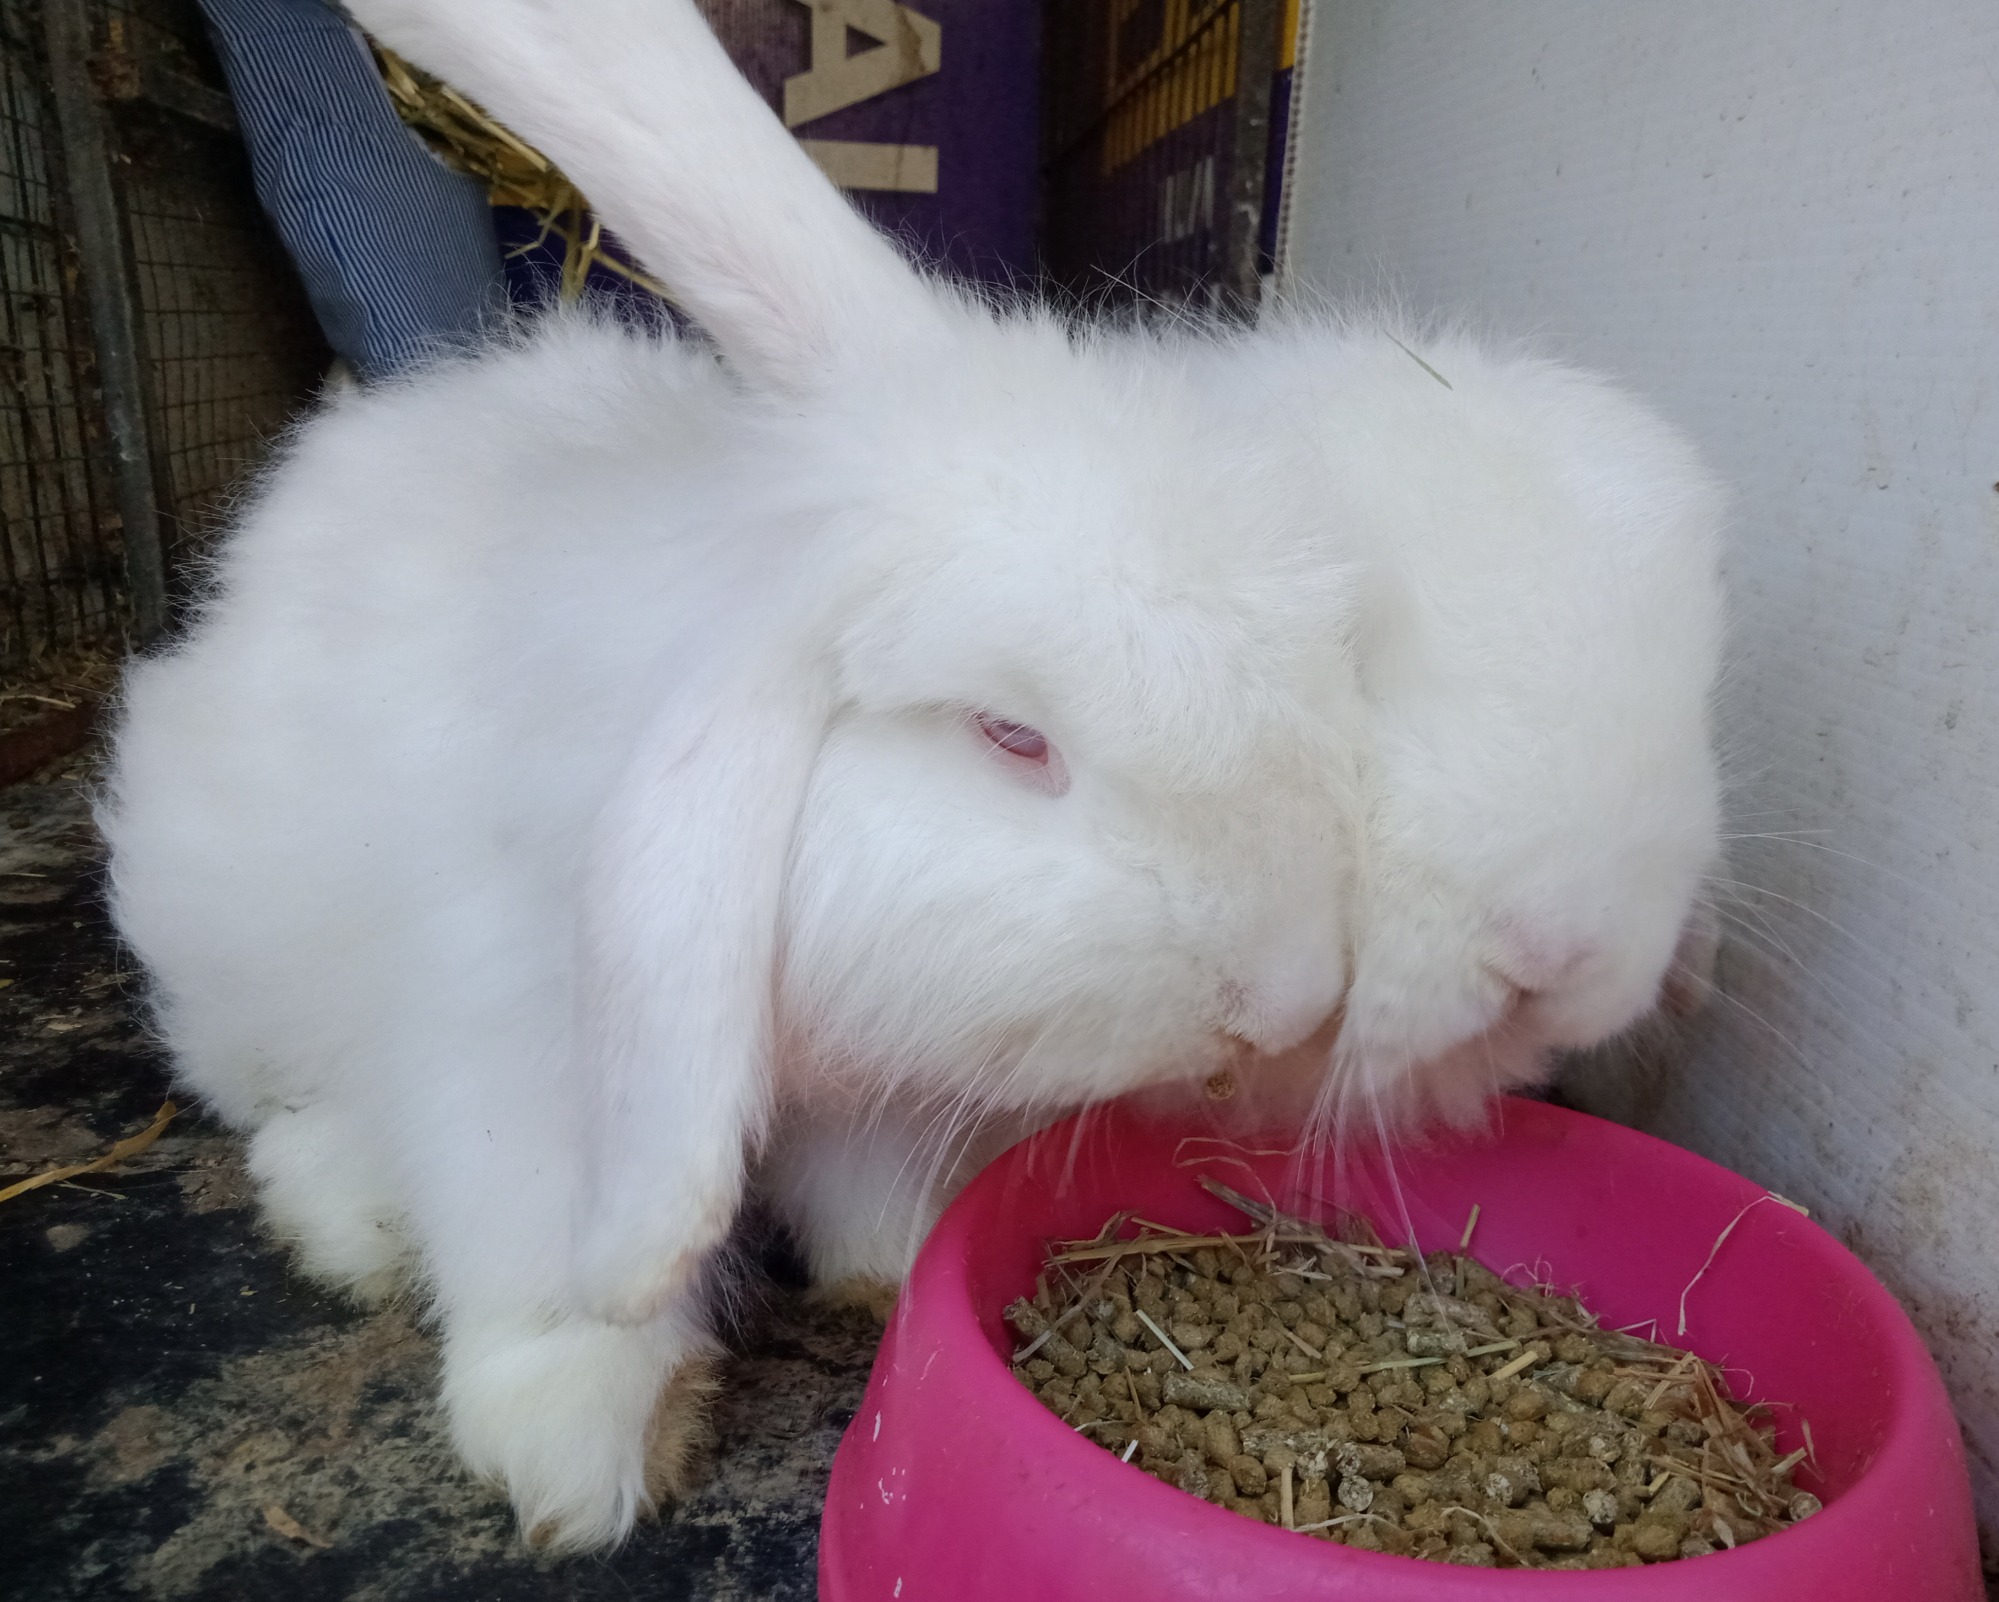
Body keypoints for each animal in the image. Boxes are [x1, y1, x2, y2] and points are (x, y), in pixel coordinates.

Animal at [98, 0, 1726, 1552]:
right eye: (1010, 736)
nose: (1278, 992)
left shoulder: (893, 1082)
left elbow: (873, 1197)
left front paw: (895, 1275)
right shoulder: (523, 1038)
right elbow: (540, 1232)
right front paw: (581, 1450)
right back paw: (347, 1215)